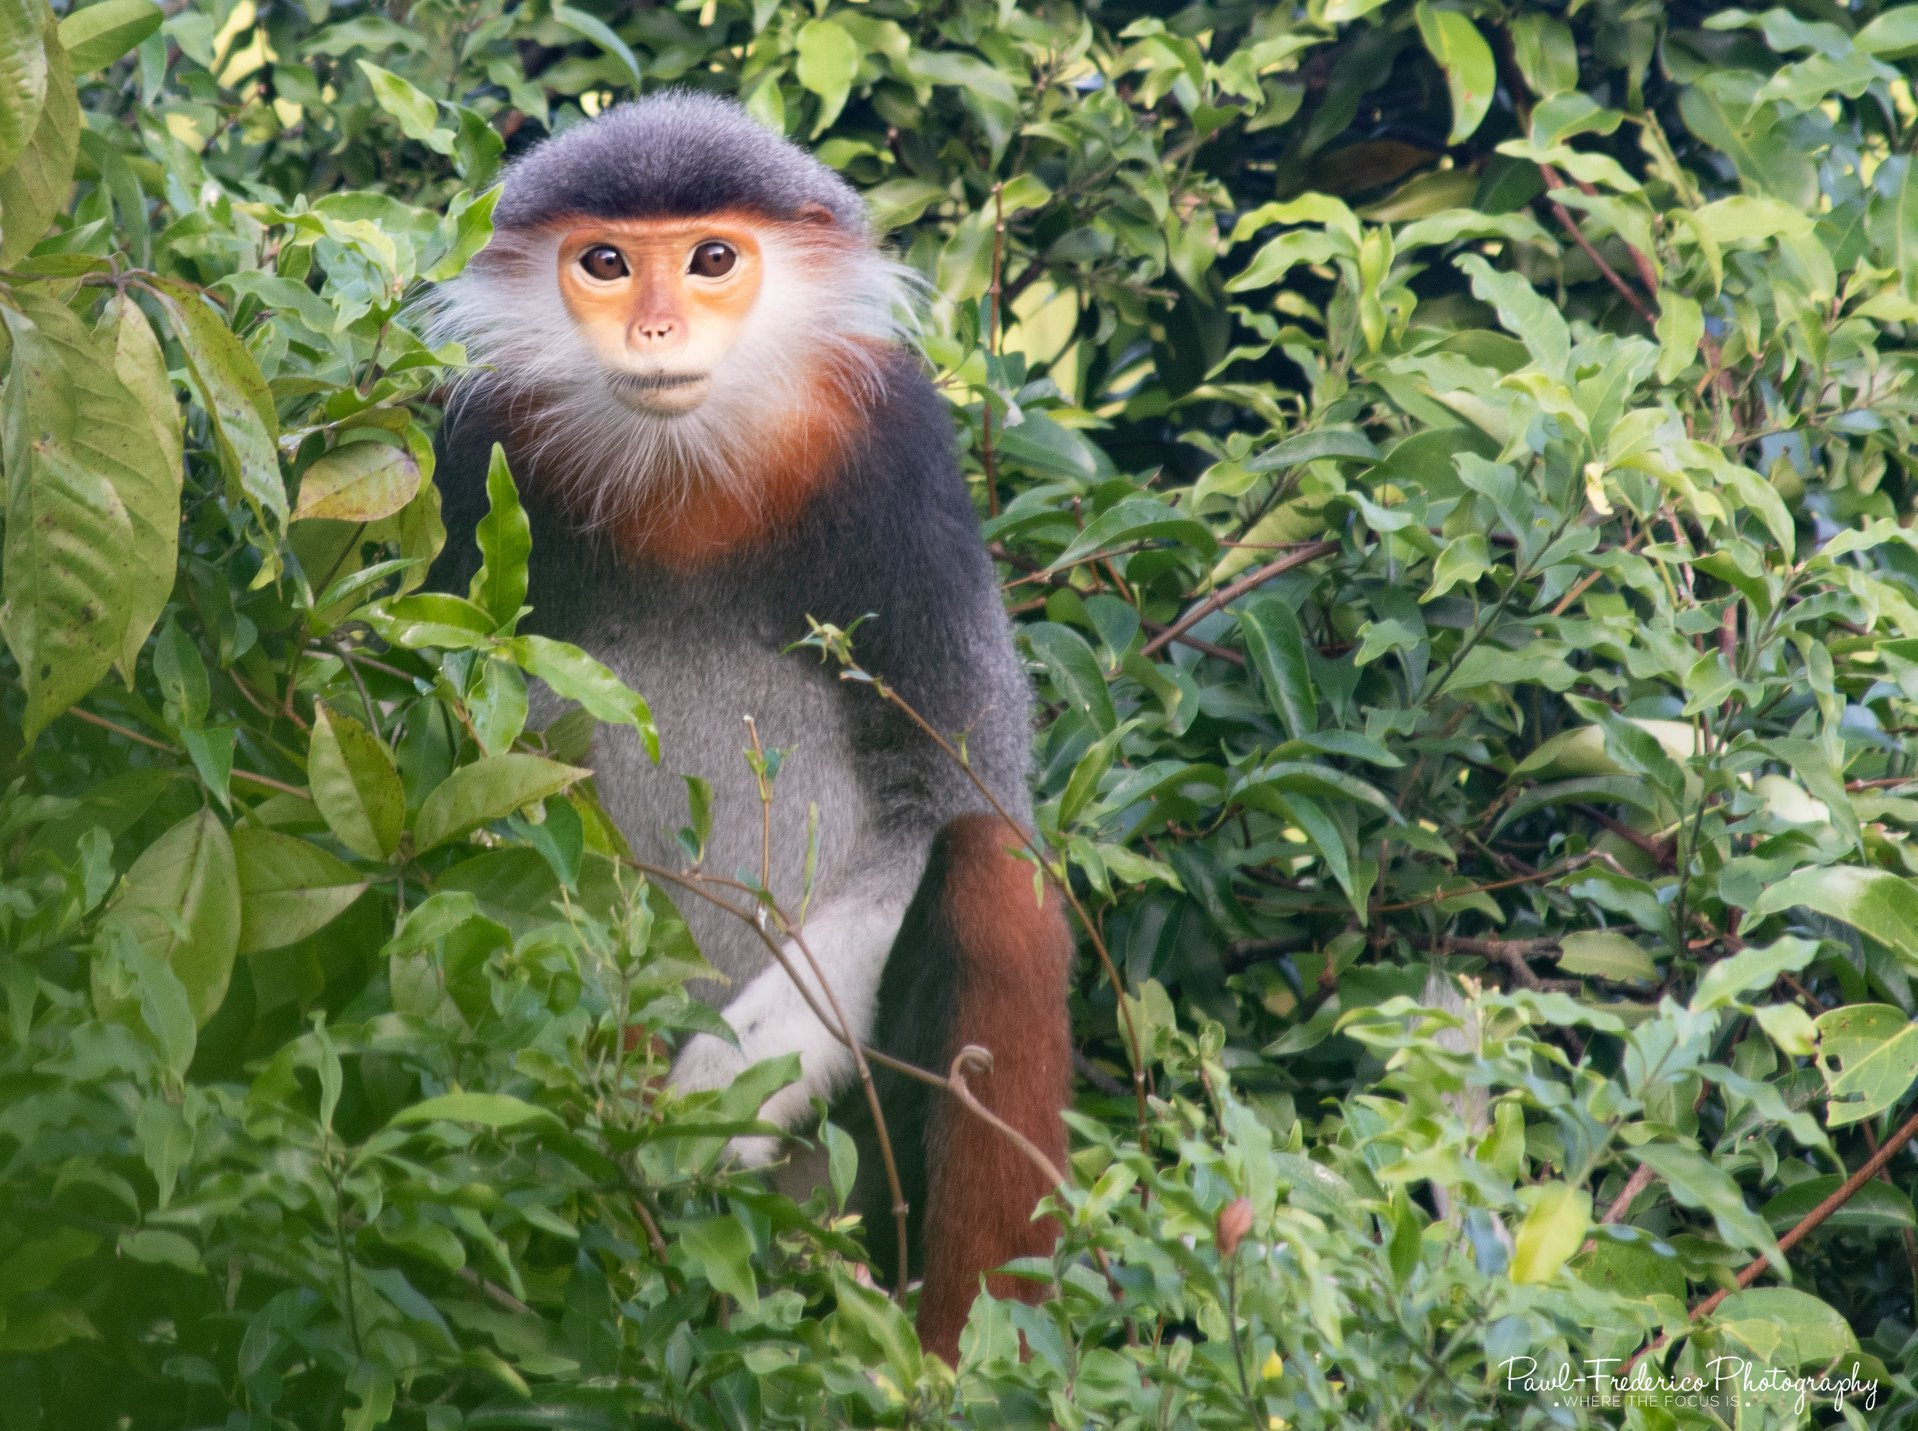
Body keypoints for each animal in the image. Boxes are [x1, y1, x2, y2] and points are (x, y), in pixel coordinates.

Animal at [423, 92, 1072, 1360]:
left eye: (712, 260)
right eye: (607, 263)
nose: (657, 329)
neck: (689, 466)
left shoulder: (898, 455)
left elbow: (942, 805)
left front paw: (694, 1121)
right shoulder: (477, 456)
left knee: (989, 866)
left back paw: (973, 1365)